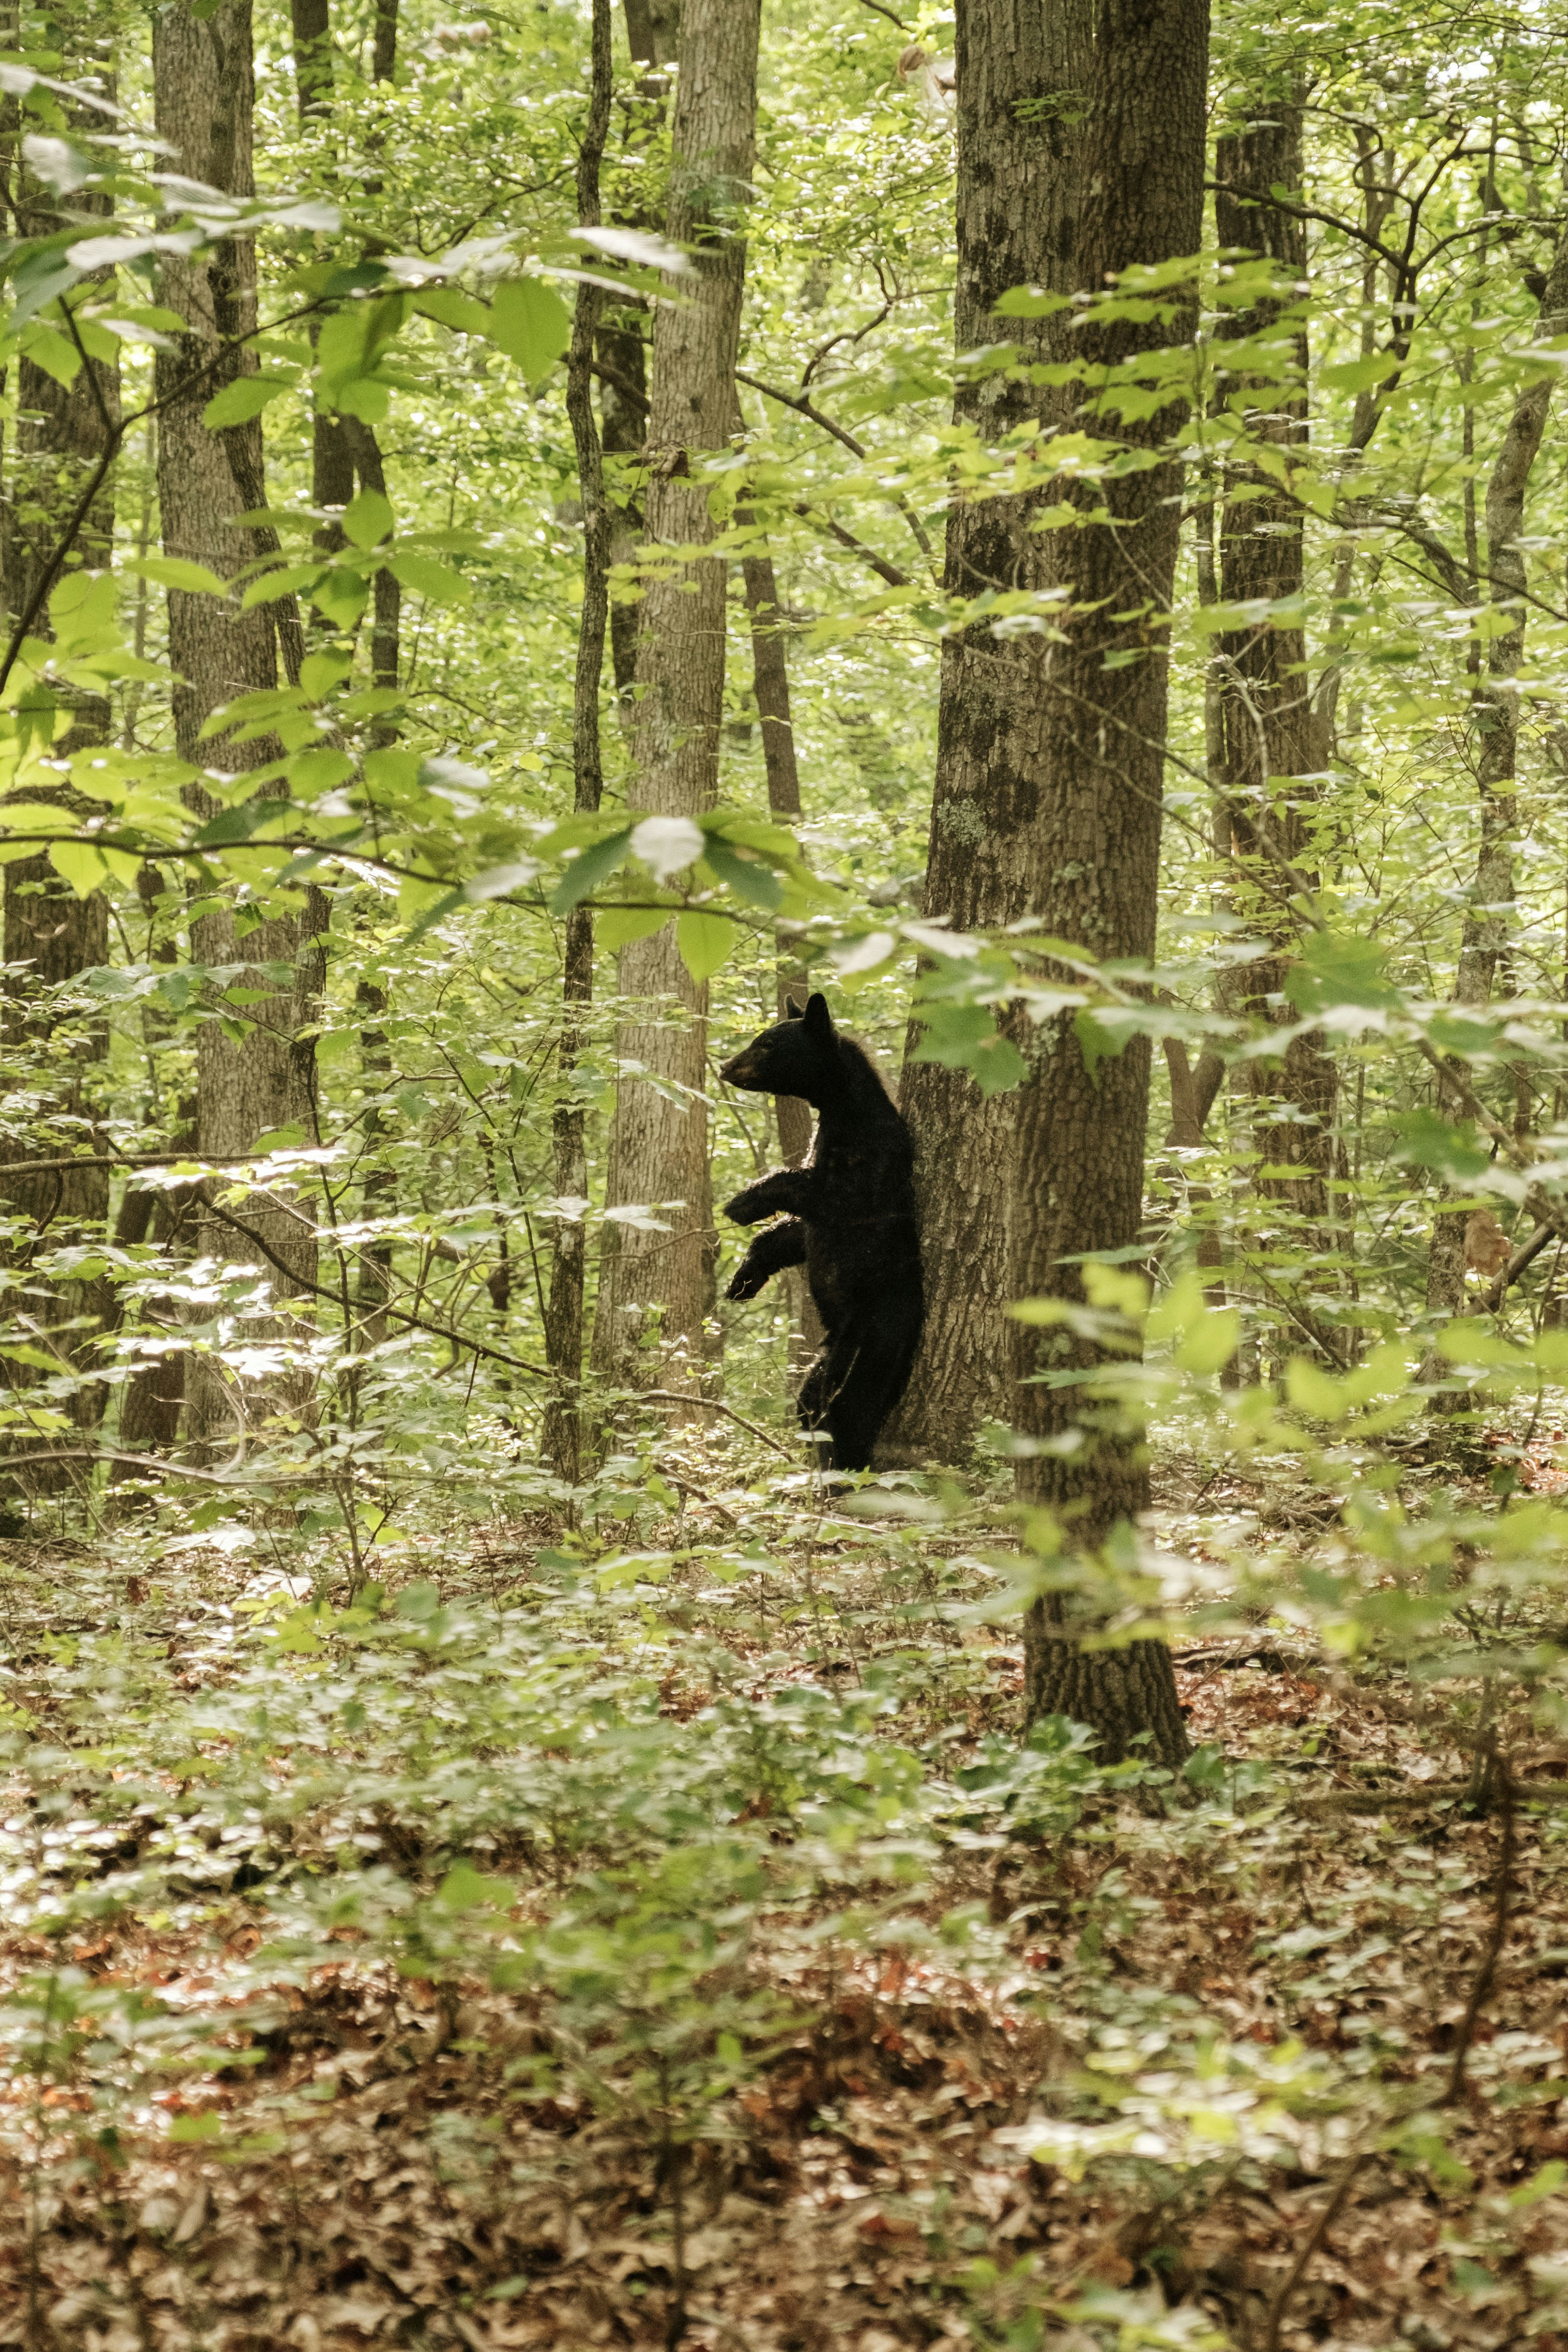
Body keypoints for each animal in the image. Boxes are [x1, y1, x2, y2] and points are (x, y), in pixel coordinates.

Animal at [718, 992, 923, 1473]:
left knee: (847, 1405)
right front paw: (743, 1280)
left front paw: (742, 1202)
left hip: (869, 1341)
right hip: (831, 1351)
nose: (724, 1065)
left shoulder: (869, 1168)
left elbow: (820, 1191)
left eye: (766, 1044)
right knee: (812, 1403)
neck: (842, 1109)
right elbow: (794, 1234)